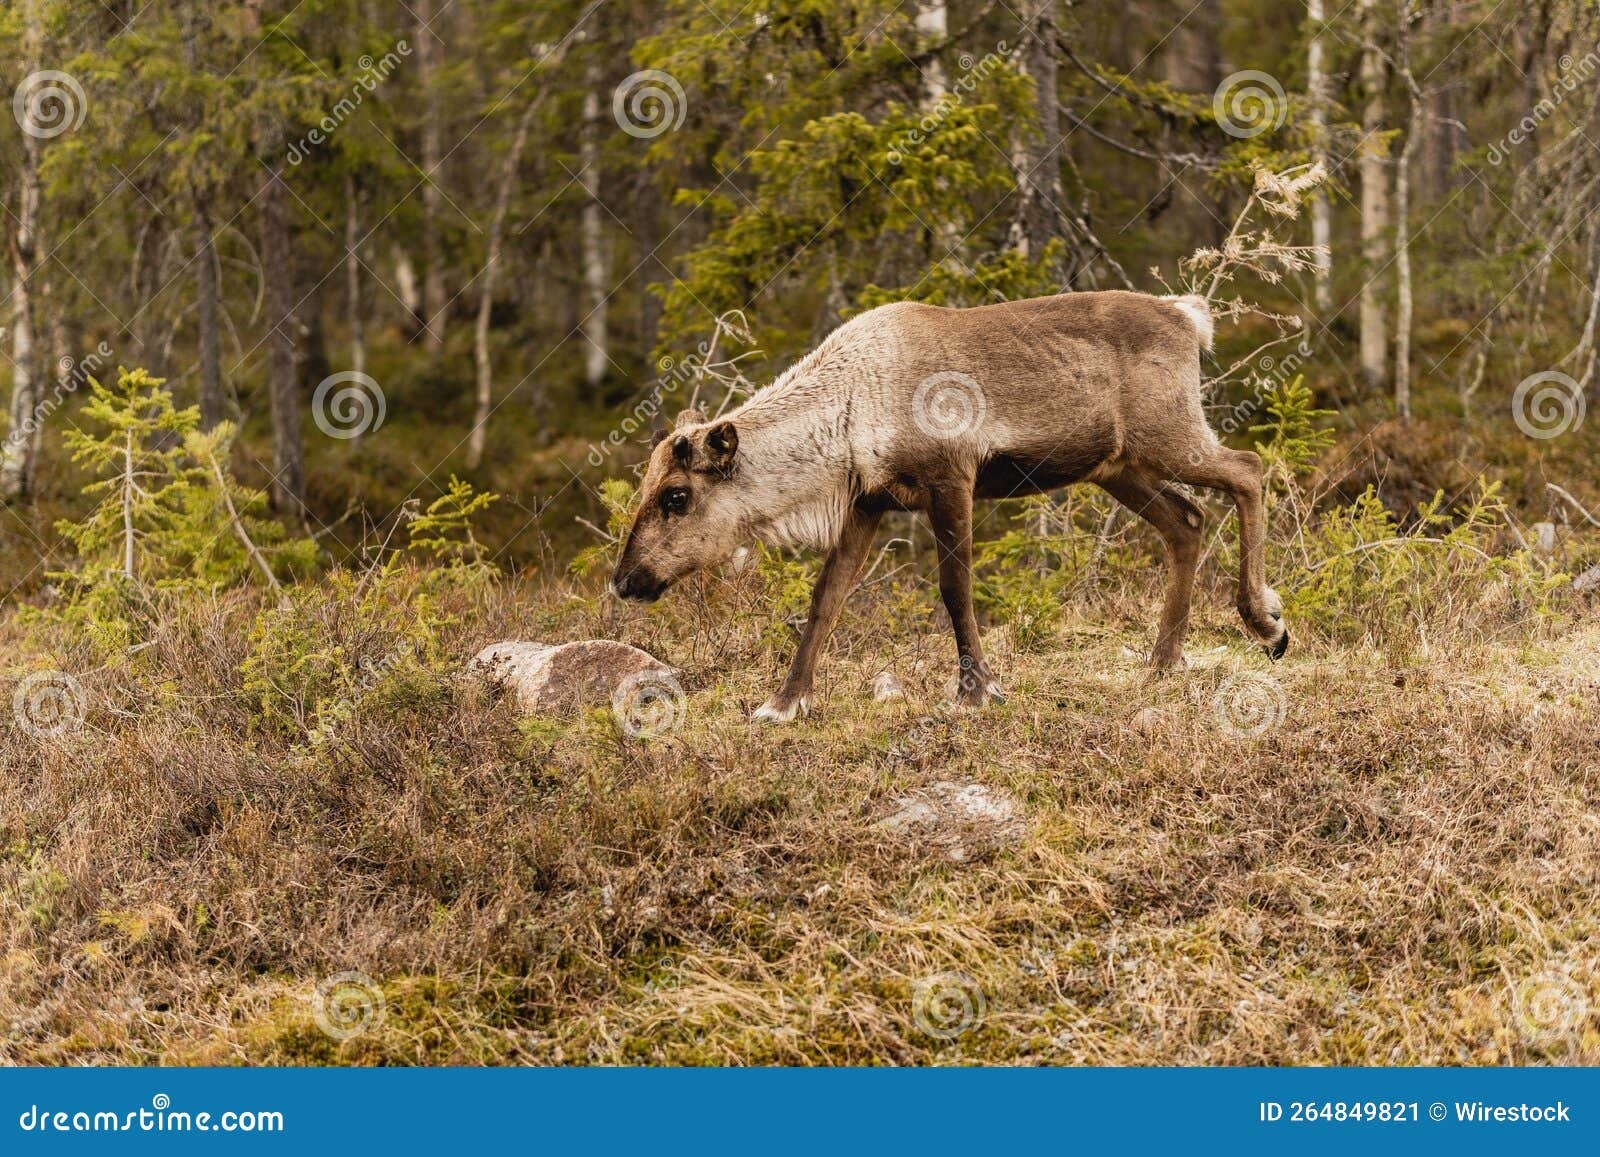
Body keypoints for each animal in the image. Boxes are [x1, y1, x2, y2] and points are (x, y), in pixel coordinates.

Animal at [611, 290, 1288, 723]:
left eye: (676, 495)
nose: (624, 580)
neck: (848, 416)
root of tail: (1189, 317)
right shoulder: (869, 501)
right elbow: (826, 598)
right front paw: (784, 703)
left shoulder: (950, 477)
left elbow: (955, 589)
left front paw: (976, 691)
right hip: (1118, 466)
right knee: (1188, 520)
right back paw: (1162, 661)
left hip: (1169, 434)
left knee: (1248, 469)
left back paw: (1266, 622)